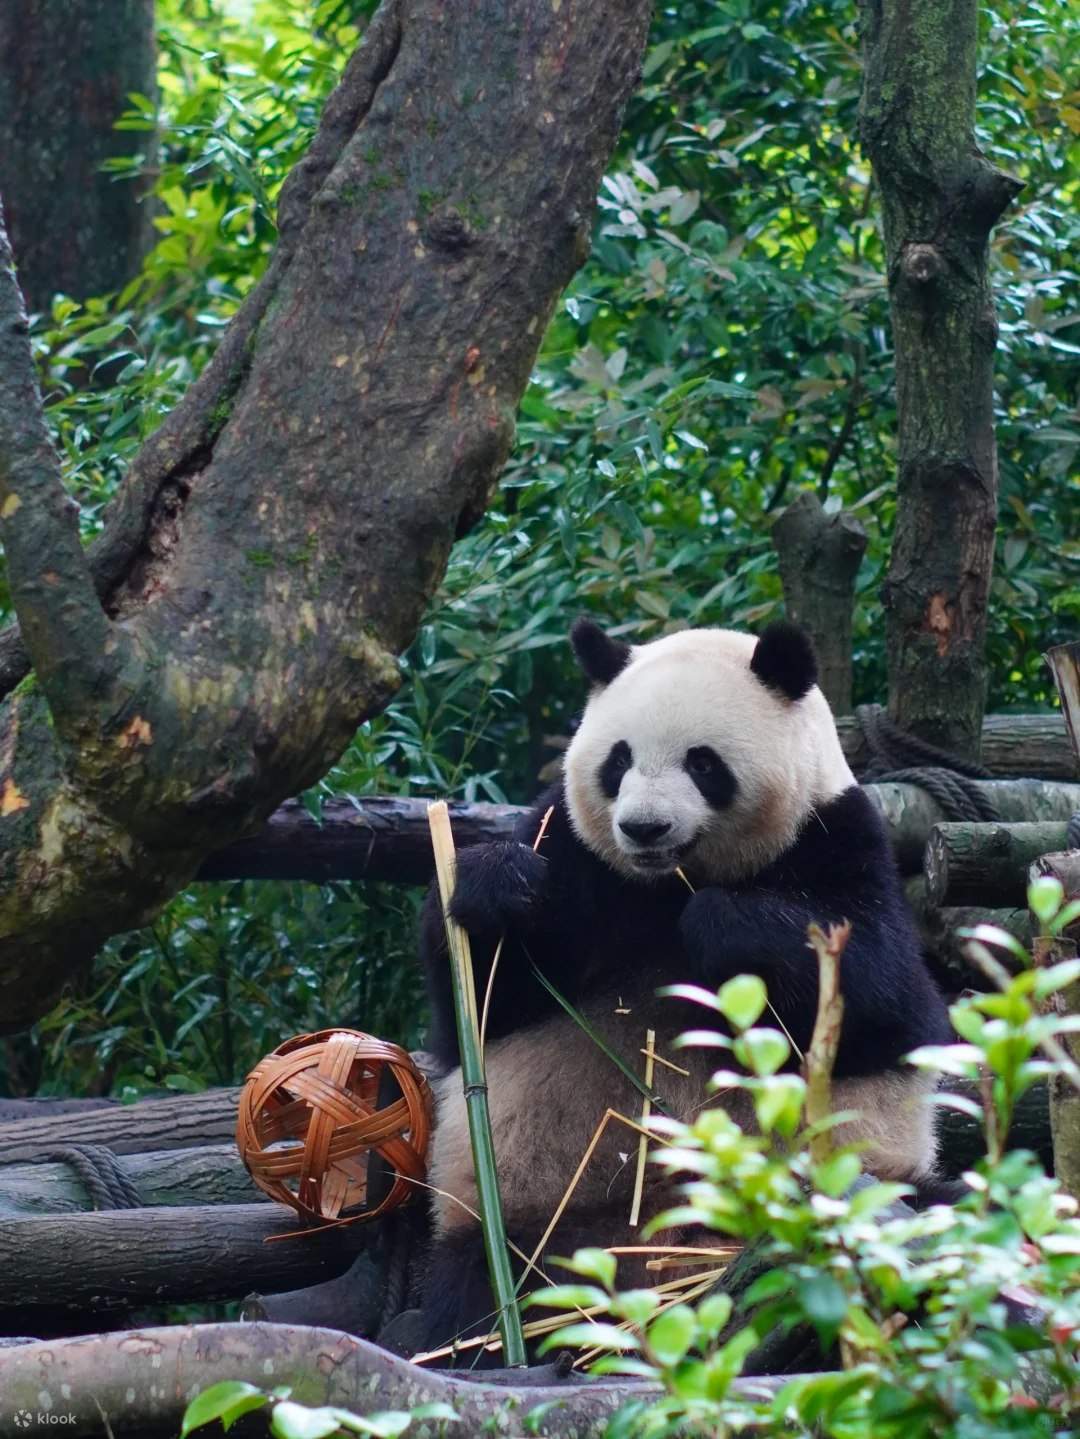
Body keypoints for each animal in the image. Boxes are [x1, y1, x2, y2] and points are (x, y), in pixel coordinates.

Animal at [416, 618, 952, 1357]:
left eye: (703, 763)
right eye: (618, 761)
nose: (644, 827)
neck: (665, 883)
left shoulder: (838, 840)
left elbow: (892, 1006)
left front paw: (721, 924)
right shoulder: (578, 856)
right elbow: (479, 1009)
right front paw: (497, 884)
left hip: (873, 1187)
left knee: (941, 1216)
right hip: (544, 1217)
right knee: (476, 1284)